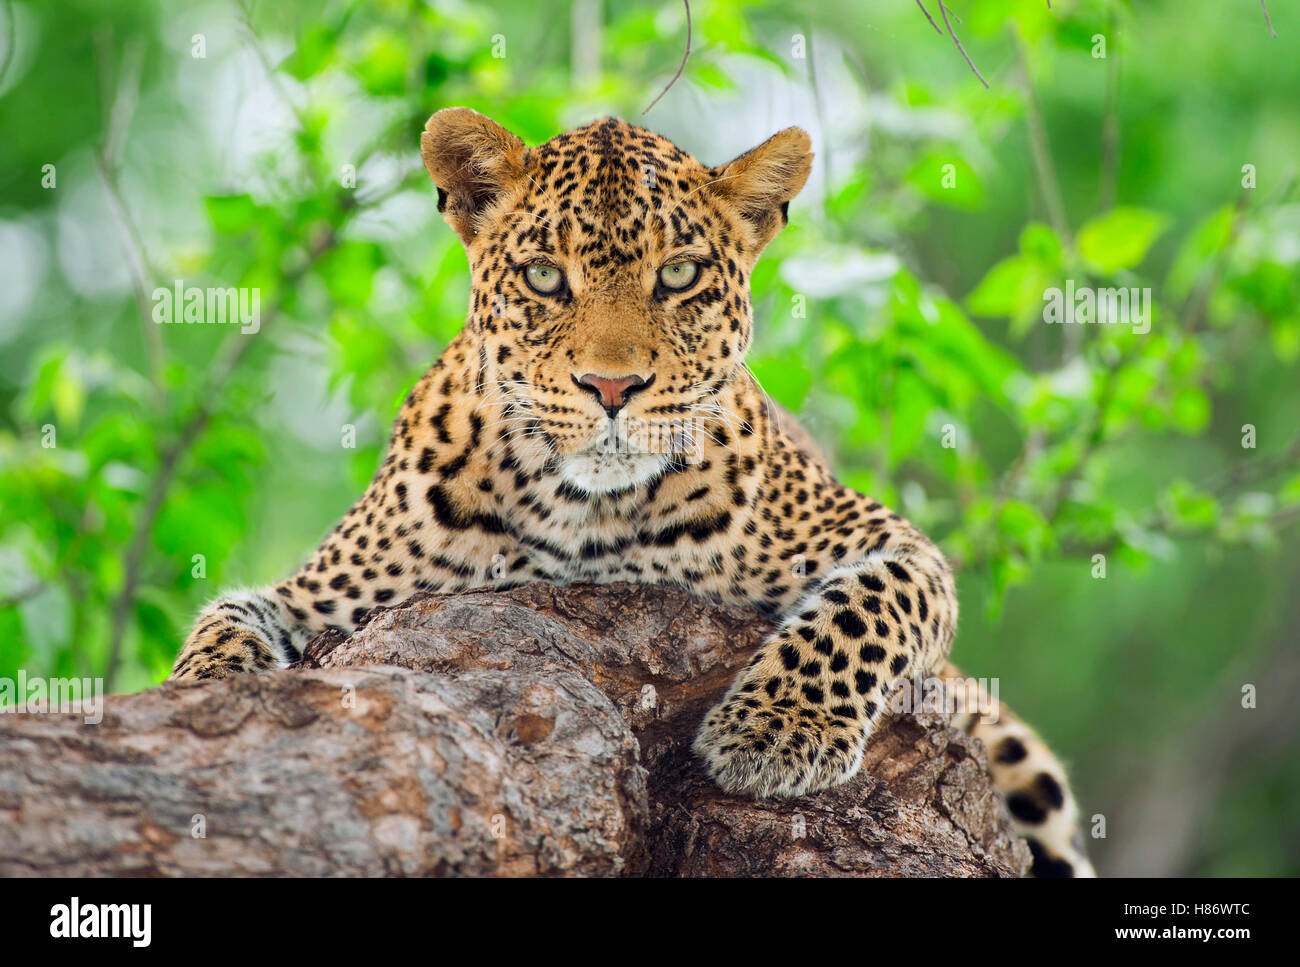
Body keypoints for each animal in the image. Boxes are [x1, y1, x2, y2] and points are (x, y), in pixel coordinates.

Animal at [170, 107, 1095, 877]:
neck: (581, 512)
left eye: (679, 274)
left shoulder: (885, 537)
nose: (611, 386)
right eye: (545, 277)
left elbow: (869, 605)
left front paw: (774, 729)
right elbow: (218, 631)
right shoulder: (317, 589)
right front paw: (203, 700)